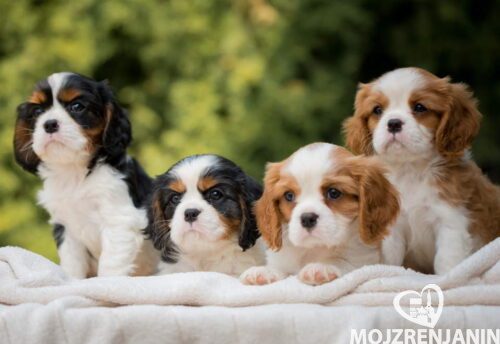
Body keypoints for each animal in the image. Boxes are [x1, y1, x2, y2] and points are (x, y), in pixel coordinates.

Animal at [14, 72, 158, 276]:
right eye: (37, 112)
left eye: (77, 107)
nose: (49, 124)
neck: (74, 172)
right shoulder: (66, 228)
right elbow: (72, 264)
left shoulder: (119, 220)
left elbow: (110, 264)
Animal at [240, 142, 400, 284]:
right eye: (289, 196)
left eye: (334, 193)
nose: (307, 218)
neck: (314, 248)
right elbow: (282, 269)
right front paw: (264, 271)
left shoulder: (364, 260)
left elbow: (343, 261)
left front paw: (322, 266)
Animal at [344, 67, 500, 274]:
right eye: (377, 110)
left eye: (419, 107)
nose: (393, 123)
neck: (410, 170)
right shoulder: (392, 228)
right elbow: (389, 260)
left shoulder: (451, 223)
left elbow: (447, 262)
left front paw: (447, 278)